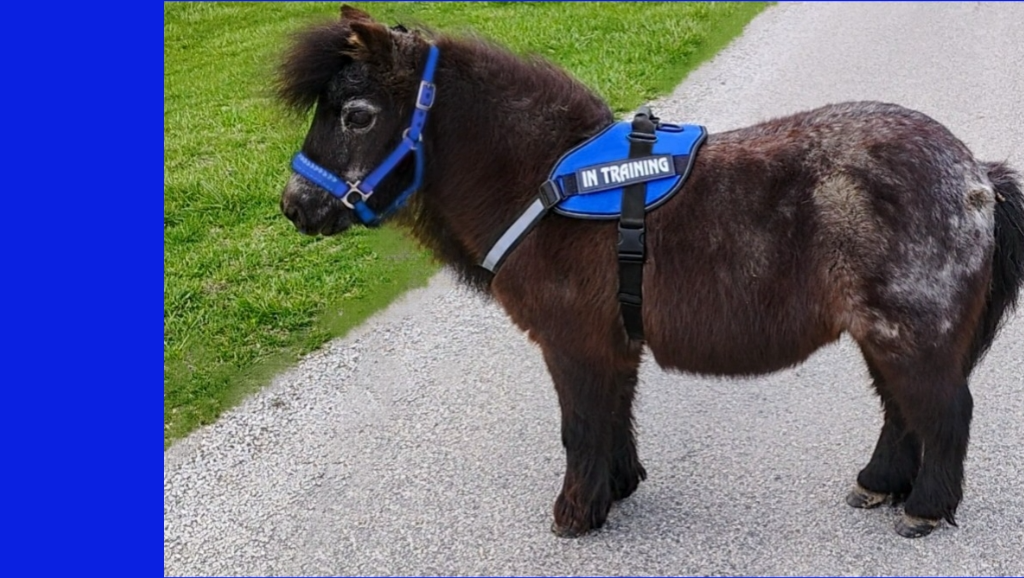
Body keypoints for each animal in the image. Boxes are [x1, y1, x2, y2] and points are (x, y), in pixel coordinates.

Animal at [275, 5, 1024, 539]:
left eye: (358, 115)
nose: (295, 206)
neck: (546, 183)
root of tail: (975, 176)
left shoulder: (573, 343)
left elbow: (580, 424)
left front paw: (576, 514)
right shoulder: (612, 342)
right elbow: (614, 414)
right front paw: (618, 487)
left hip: (910, 332)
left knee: (942, 410)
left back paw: (924, 507)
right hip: (884, 334)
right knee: (902, 410)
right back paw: (880, 482)